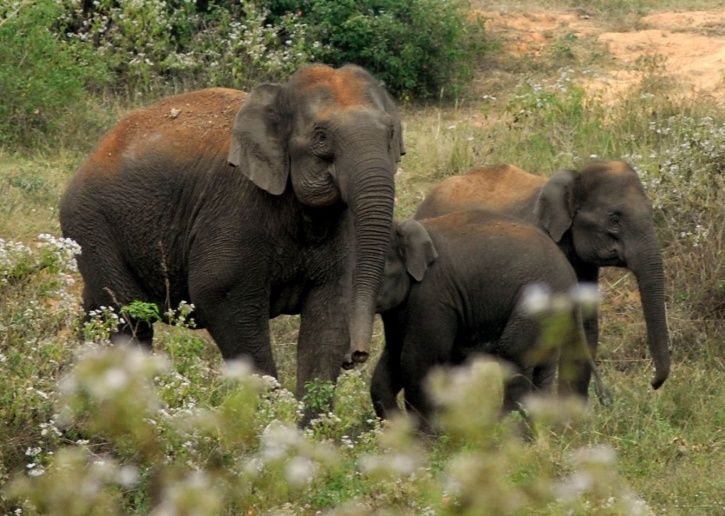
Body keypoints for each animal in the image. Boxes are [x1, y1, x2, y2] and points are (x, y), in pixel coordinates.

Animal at [60, 64, 403, 401]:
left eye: (390, 135)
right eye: (321, 136)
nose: (357, 357)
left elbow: (330, 311)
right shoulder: (237, 203)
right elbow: (220, 293)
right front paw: (269, 411)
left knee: (98, 312)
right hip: (90, 224)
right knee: (128, 319)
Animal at [371, 212, 595, 429]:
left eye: (383, 273)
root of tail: (571, 280)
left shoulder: (433, 294)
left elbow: (418, 358)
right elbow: (395, 354)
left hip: (538, 306)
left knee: (514, 353)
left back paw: (507, 431)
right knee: (542, 364)